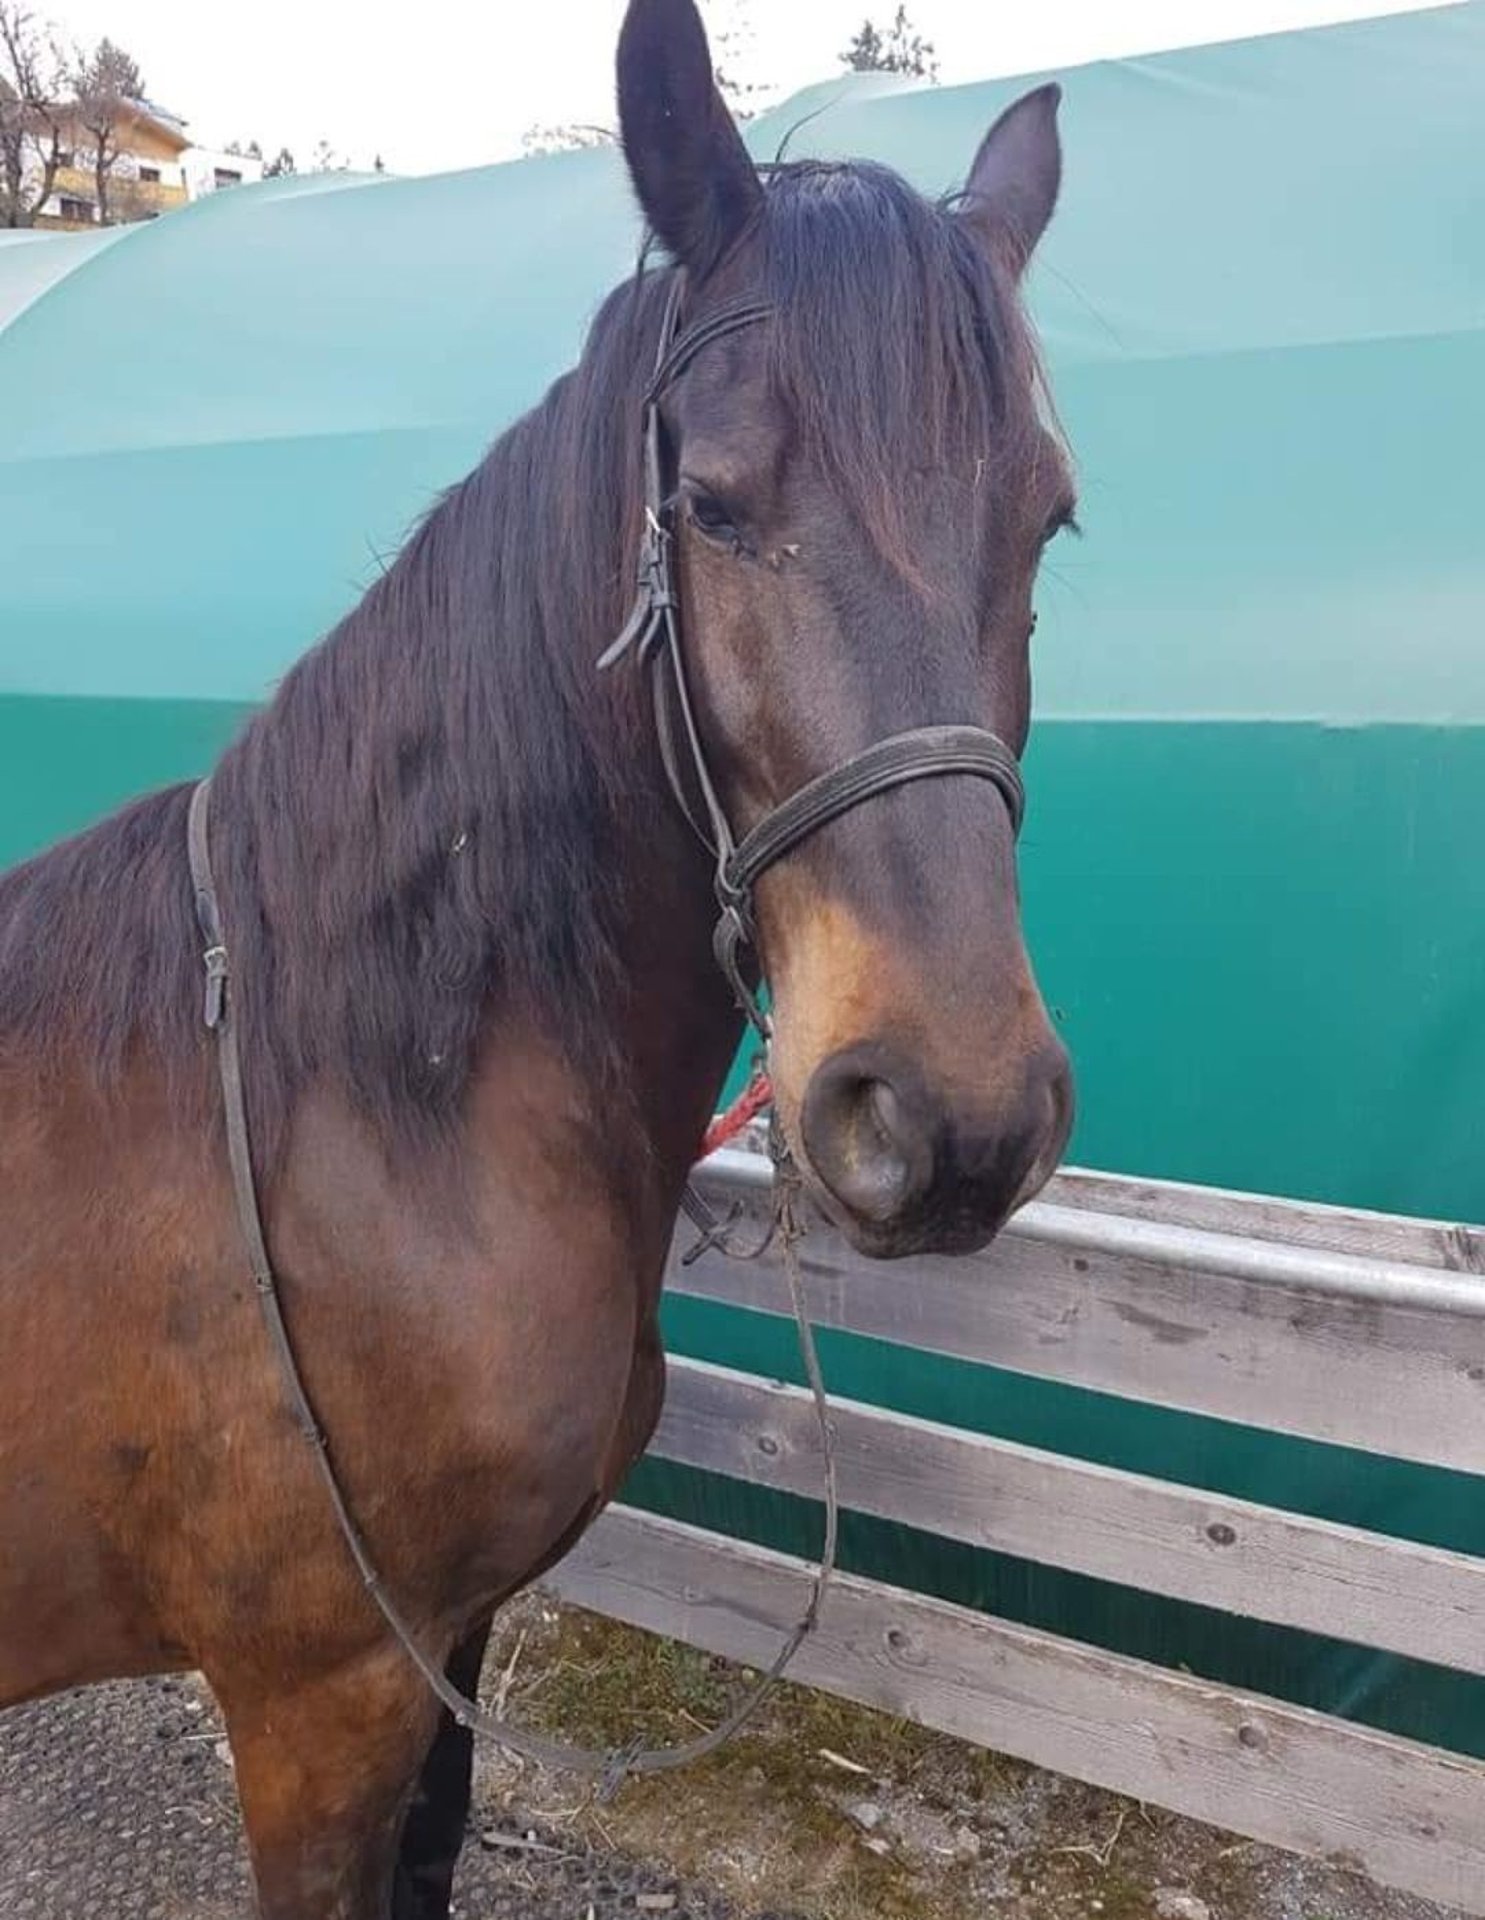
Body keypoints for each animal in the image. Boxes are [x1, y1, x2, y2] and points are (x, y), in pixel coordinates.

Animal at [0, 1, 1077, 1913]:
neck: (355, 1114)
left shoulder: (455, 1640)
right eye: (710, 505)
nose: (950, 1119)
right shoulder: (317, 1706)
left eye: (1048, 520)